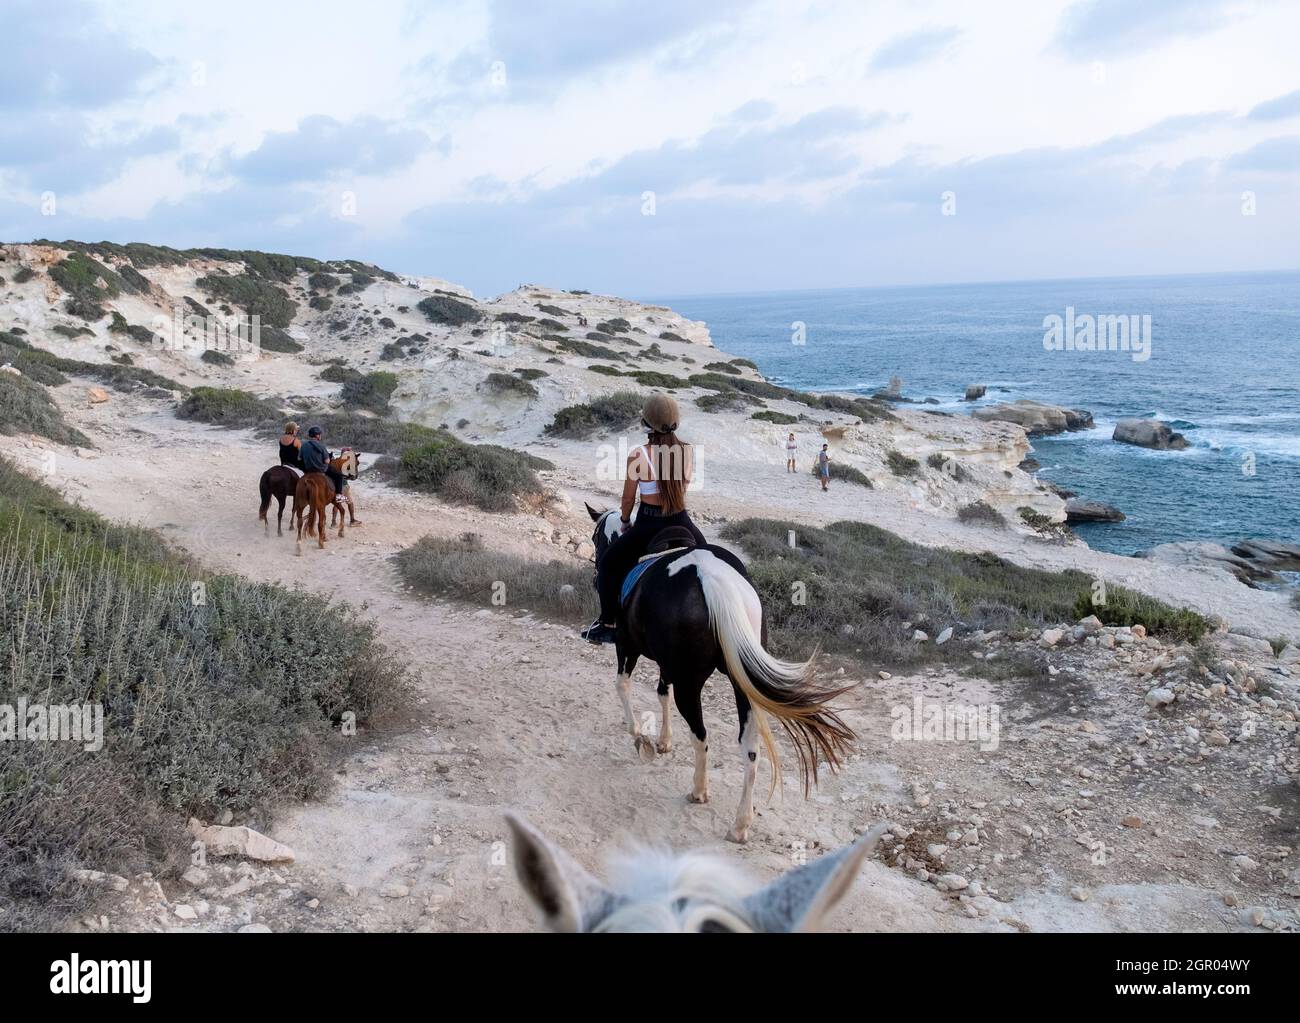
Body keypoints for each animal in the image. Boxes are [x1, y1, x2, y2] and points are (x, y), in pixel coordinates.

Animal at [585, 503, 855, 844]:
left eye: (596, 537)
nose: (596, 562)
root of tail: (712, 578)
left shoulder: (627, 645)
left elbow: (623, 686)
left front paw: (639, 735)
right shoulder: (667, 664)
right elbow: (661, 693)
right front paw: (663, 741)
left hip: (690, 682)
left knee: (701, 735)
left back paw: (699, 791)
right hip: (743, 682)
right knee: (750, 749)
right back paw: (741, 824)